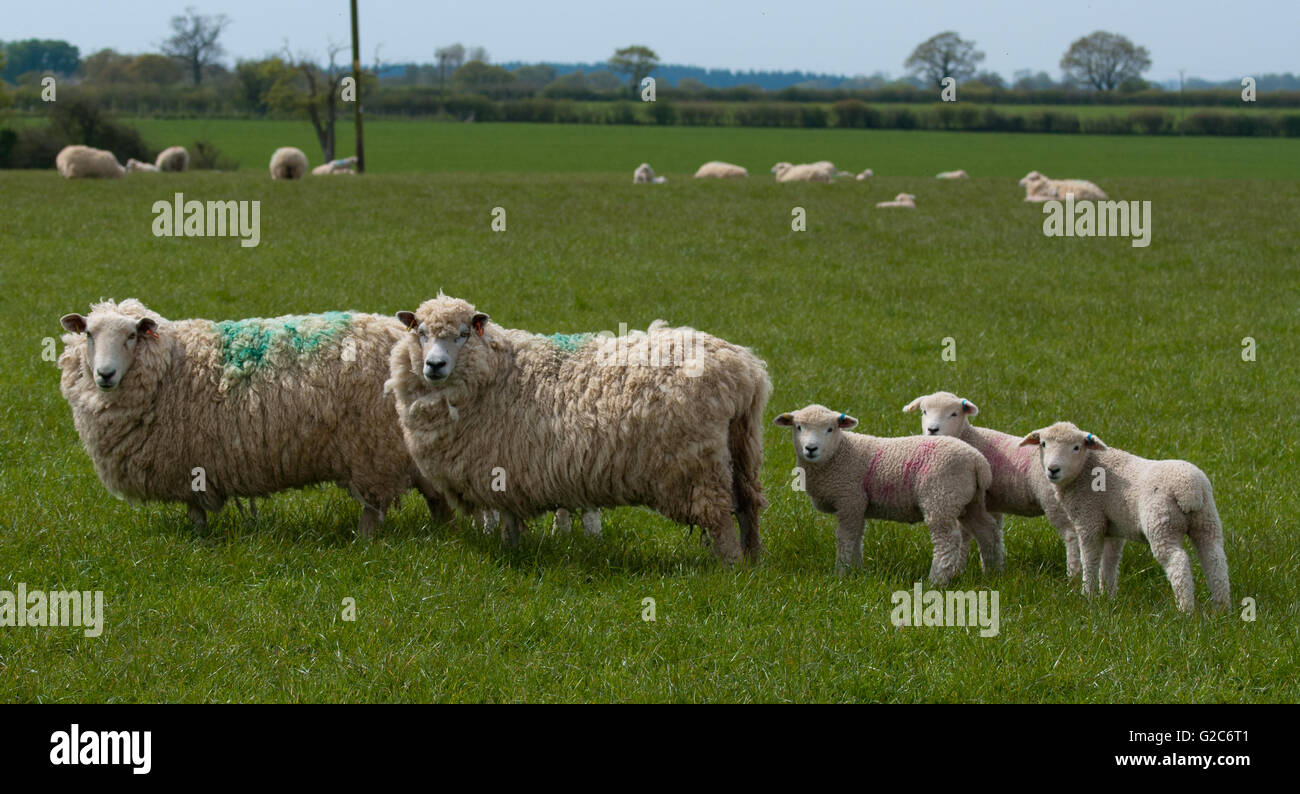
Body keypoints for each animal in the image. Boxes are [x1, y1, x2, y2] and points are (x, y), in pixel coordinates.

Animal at [58, 299, 450, 536]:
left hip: (373, 449)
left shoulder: (183, 461)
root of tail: (403, 337)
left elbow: (195, 510)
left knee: (377, 505)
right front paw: (198, 538)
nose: (104, 374)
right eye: (88, 334)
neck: (170, 364)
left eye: (131, 335)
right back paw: (442, 533)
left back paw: (366, 541)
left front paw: (198, 539)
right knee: (435, 492)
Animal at [386, 295, 772, 563]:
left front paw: (510, 551)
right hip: (743, 445)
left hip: (699, 465)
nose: (434, 365)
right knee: (748, 504)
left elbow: (509, 520)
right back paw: (753, 559)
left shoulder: (502, 467)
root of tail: (744, 369)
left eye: (464, 334)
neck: (497, 370)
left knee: (720, 516)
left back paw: (729, 565)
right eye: (420, 333)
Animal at [775, 404, 1002, 585]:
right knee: (988, 531)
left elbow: (845, 538)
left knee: (947, 540)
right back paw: (993, 572)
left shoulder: (850, 499)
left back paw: (936, 581)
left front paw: (841, 573)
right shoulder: (858, 506)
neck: (839, 453)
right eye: (798, 427)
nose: (810, 448)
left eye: (830, 429)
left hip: (940, 497)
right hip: (970, 501)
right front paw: (856, 571)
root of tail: (977, 461)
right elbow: (857, 537)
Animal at [903, 391, 1079, 577]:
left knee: (1072, 536)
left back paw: (1073, 575)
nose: (932, 430)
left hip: (1053, 501)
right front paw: (995, 569)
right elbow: (995, 533)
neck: (968, 437)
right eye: (924, 412)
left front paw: (959, 569)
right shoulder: (990, 503)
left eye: (954, 414)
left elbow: (965, 536)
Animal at [1019, 422, 1229, 613]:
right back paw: (1222, 608)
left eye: (1076, 447)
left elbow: (1090, 559)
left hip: (1161, 523)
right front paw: (1108, 596)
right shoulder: (1114, 528)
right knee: (1215, 560)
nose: (1053, 469)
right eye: (1043, 444)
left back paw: (1185, 610)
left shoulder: (1089, 520)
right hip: (1207, 521)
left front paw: (1088, 595)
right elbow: (1110, 562)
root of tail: (1190, 490)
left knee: (1177, 561)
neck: (1086, 469)